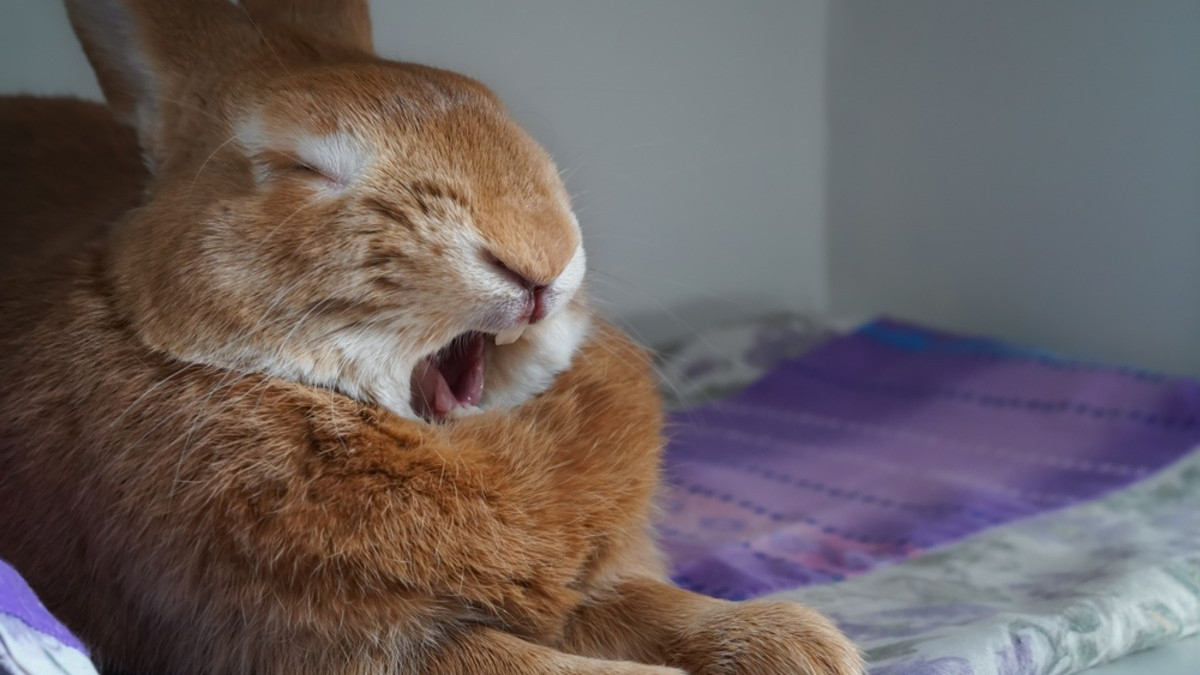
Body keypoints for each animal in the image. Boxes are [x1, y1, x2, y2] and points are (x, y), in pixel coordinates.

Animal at [0, 1, 865, 674]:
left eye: (493, 106)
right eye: (304, 166)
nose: (543, 257)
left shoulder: (596, 584)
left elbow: (656, 605)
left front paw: (799, 642)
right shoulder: (331, 643)